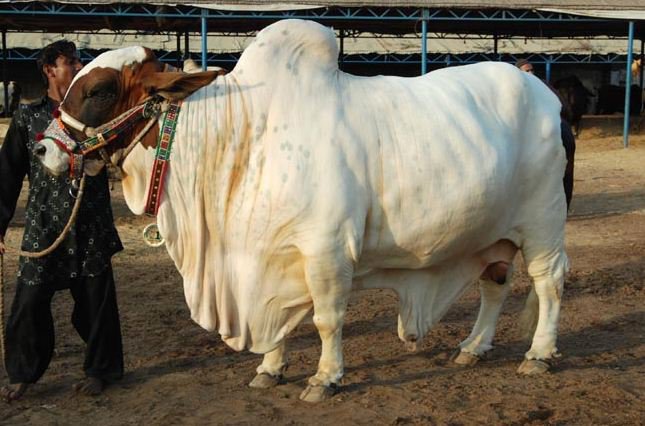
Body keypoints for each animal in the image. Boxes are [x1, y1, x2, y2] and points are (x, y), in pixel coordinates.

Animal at [35, 20, 569, 403]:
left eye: (99, 90)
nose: (42, 150)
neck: (236, 135)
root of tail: (547, 96)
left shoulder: (326, 251)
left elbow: (327, 320)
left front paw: (325, 378)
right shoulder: (264, 255)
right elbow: (279, 326)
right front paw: (270, 369)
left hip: (543, 225)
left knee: (549, 284)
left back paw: (539, 354)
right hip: (494, 234)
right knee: (495, 285)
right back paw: (473, 348)